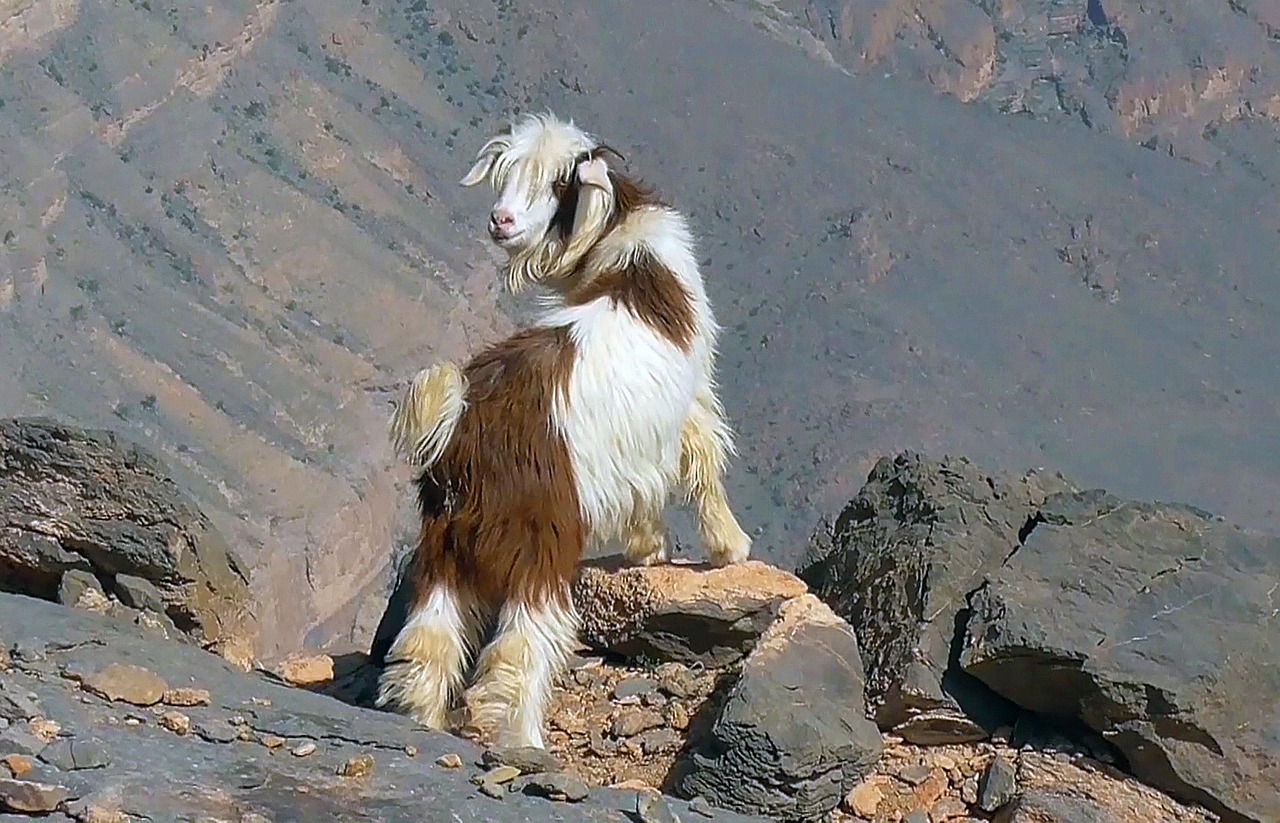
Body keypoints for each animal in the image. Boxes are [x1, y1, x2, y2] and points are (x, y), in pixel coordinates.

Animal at [374, 112, 751, 749]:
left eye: (557, 184)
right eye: (507, 172)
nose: (500, 220)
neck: (623, 254)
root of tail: (463, 422)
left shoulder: (634, 450)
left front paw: (648, 551)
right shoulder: (689, 402)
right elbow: (702, 464)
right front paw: (728, 547)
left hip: (445, 544)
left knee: (429, 637)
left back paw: (424, 719)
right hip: (540, 541)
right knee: (522, 647)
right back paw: (523, 740)